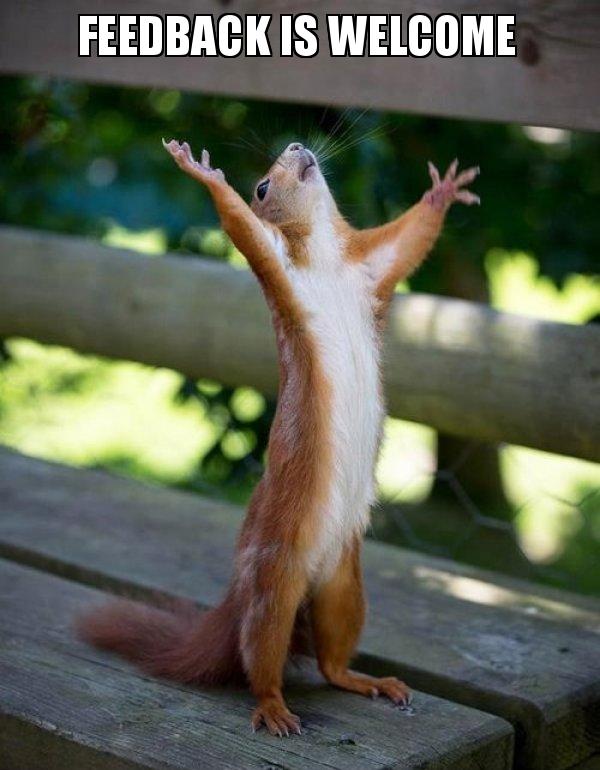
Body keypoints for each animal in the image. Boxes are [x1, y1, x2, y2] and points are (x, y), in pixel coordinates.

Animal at [78, 138, 479, 737]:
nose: (296, 146)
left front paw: (443, 191)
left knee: (332, 660)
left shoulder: (371, 267)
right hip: (274, 583)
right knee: (260, 657)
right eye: (262, 186)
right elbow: (241, 227)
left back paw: (367, 681)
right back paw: (273, 707)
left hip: (344, 586)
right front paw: (204, 174)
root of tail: (239, 596)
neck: (327, 258)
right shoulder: (277, 265)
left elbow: (408, 241)